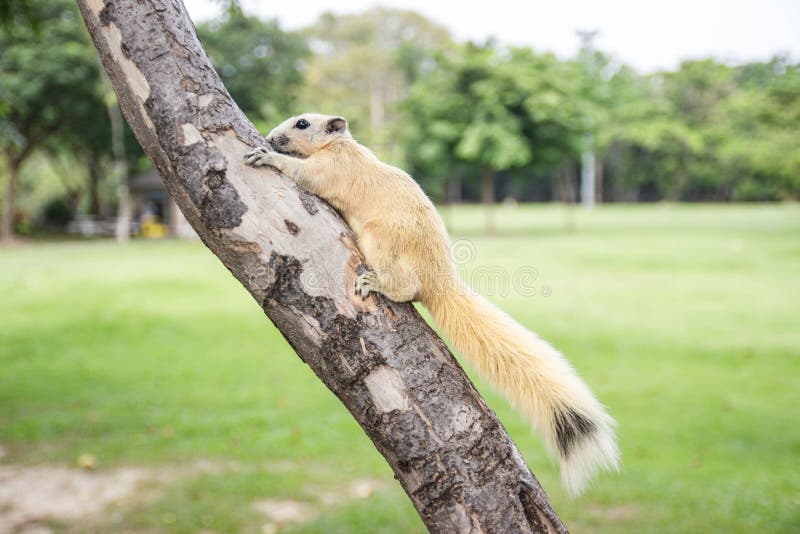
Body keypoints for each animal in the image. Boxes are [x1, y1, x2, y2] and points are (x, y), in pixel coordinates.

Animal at [244, 113, 619, 496]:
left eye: (302, 123)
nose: (271, 137)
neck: (340, 145)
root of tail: (440, 283)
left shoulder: (332, 169)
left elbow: (303, 173)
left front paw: (266, 156)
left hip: (380, 240)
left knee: (405, 288)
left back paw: (376, 283)